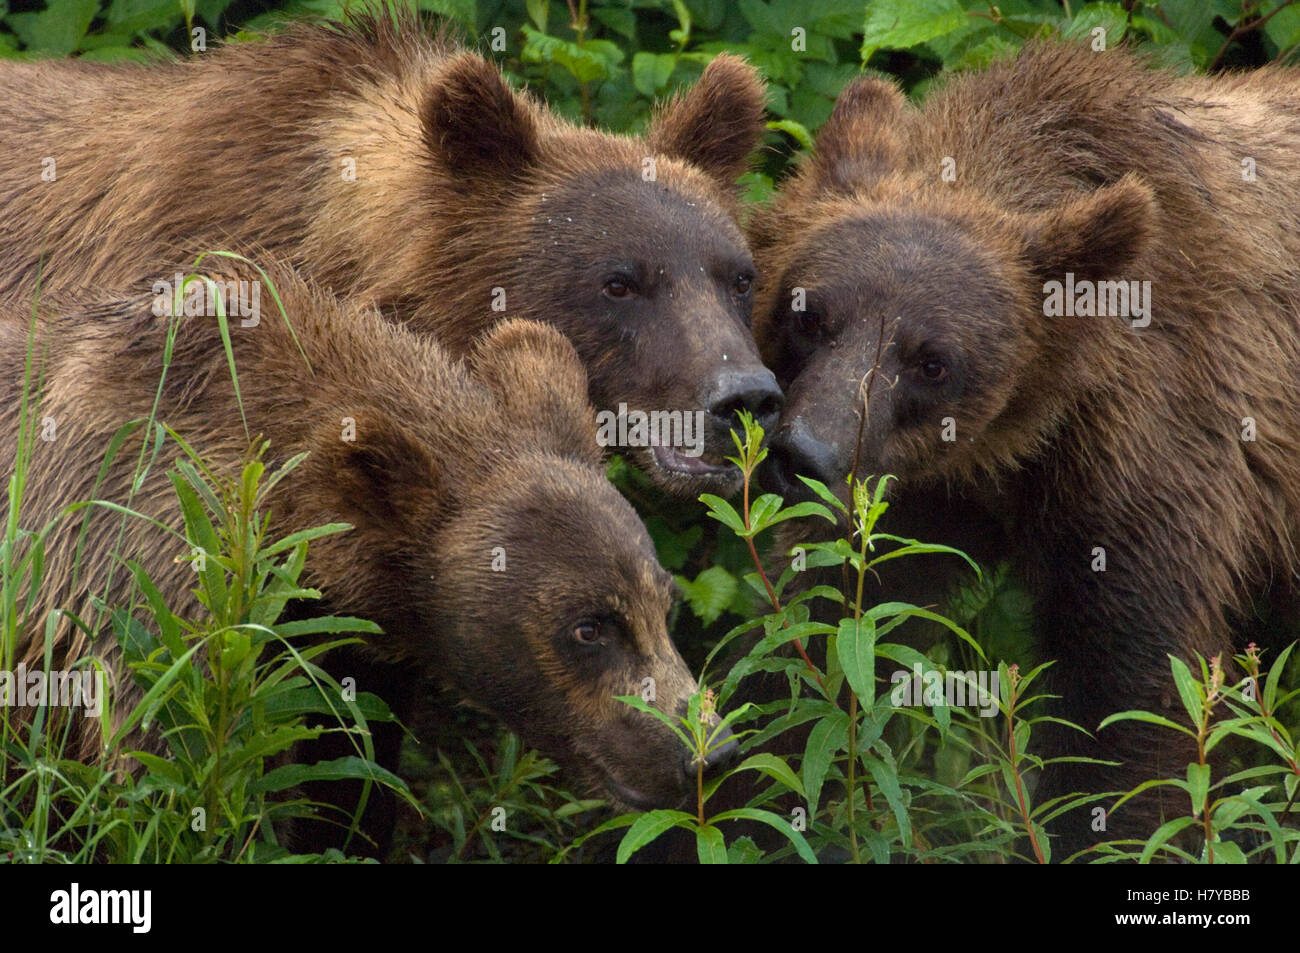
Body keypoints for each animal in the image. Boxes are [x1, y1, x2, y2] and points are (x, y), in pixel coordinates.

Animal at [0, 255, 727, 854]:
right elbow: (166, 766)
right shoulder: (145, 584)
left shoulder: (340, 655)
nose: (708, 752)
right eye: (588, 627)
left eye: (664, 603)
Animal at [747, 42, 1300, 856]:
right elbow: (836, 630)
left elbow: (1135, 688)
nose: (803, 454)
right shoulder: (919, 490)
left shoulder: (1158, 446)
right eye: (810, 316)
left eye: (932, 360)